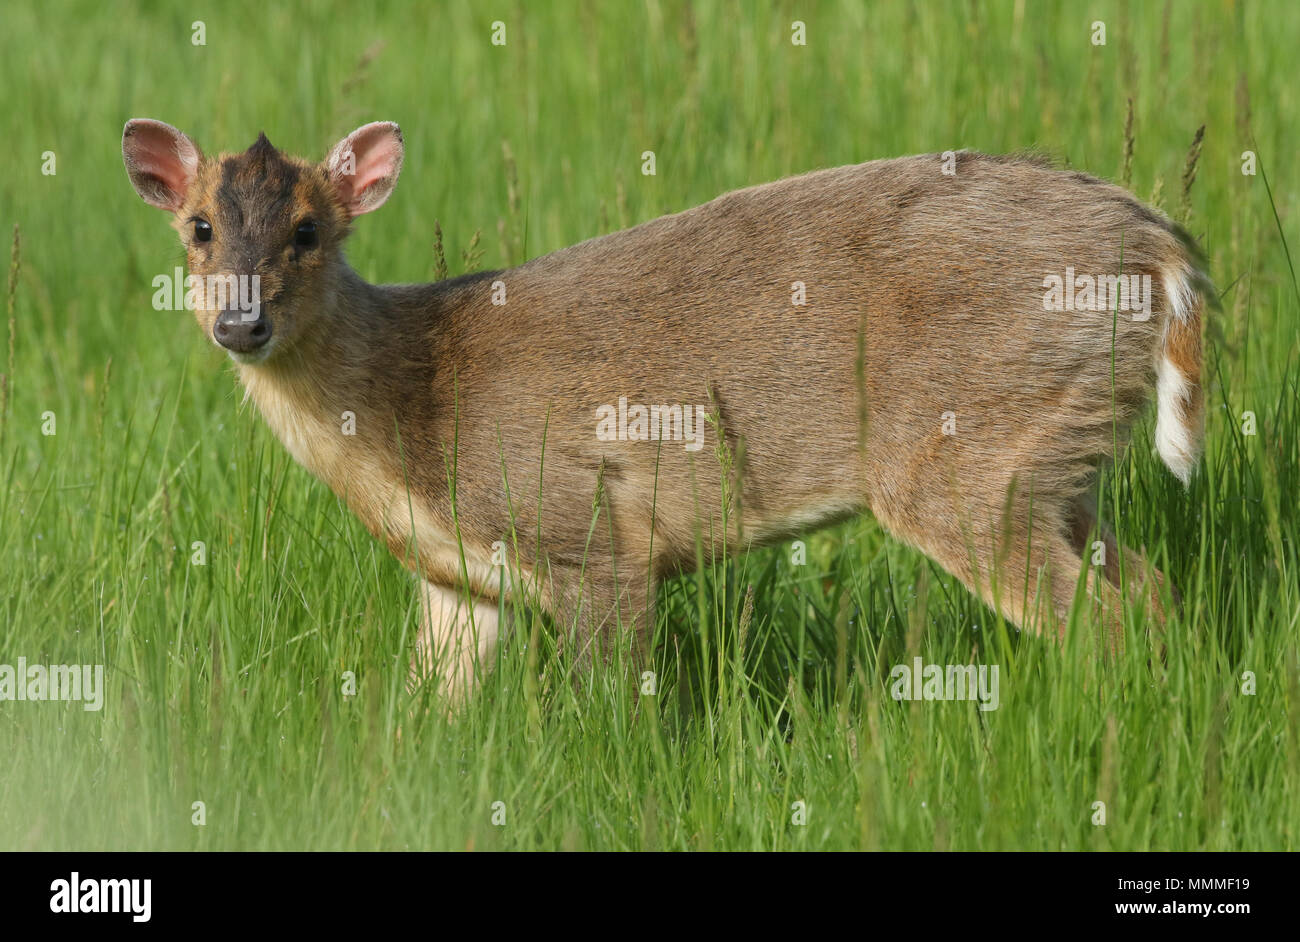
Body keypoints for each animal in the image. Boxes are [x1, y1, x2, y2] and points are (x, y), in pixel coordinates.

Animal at [122, 119, 1211, 707]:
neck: (413, 406)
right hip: (1055, 453)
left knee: (1102, 622)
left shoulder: (590, 533)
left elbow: (613, 708)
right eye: (199, 228)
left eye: (311, 230)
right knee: (1153, 594)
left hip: (965, 455)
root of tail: (1158, 246)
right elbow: (428, 709)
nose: (241, 322)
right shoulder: (457, 581)